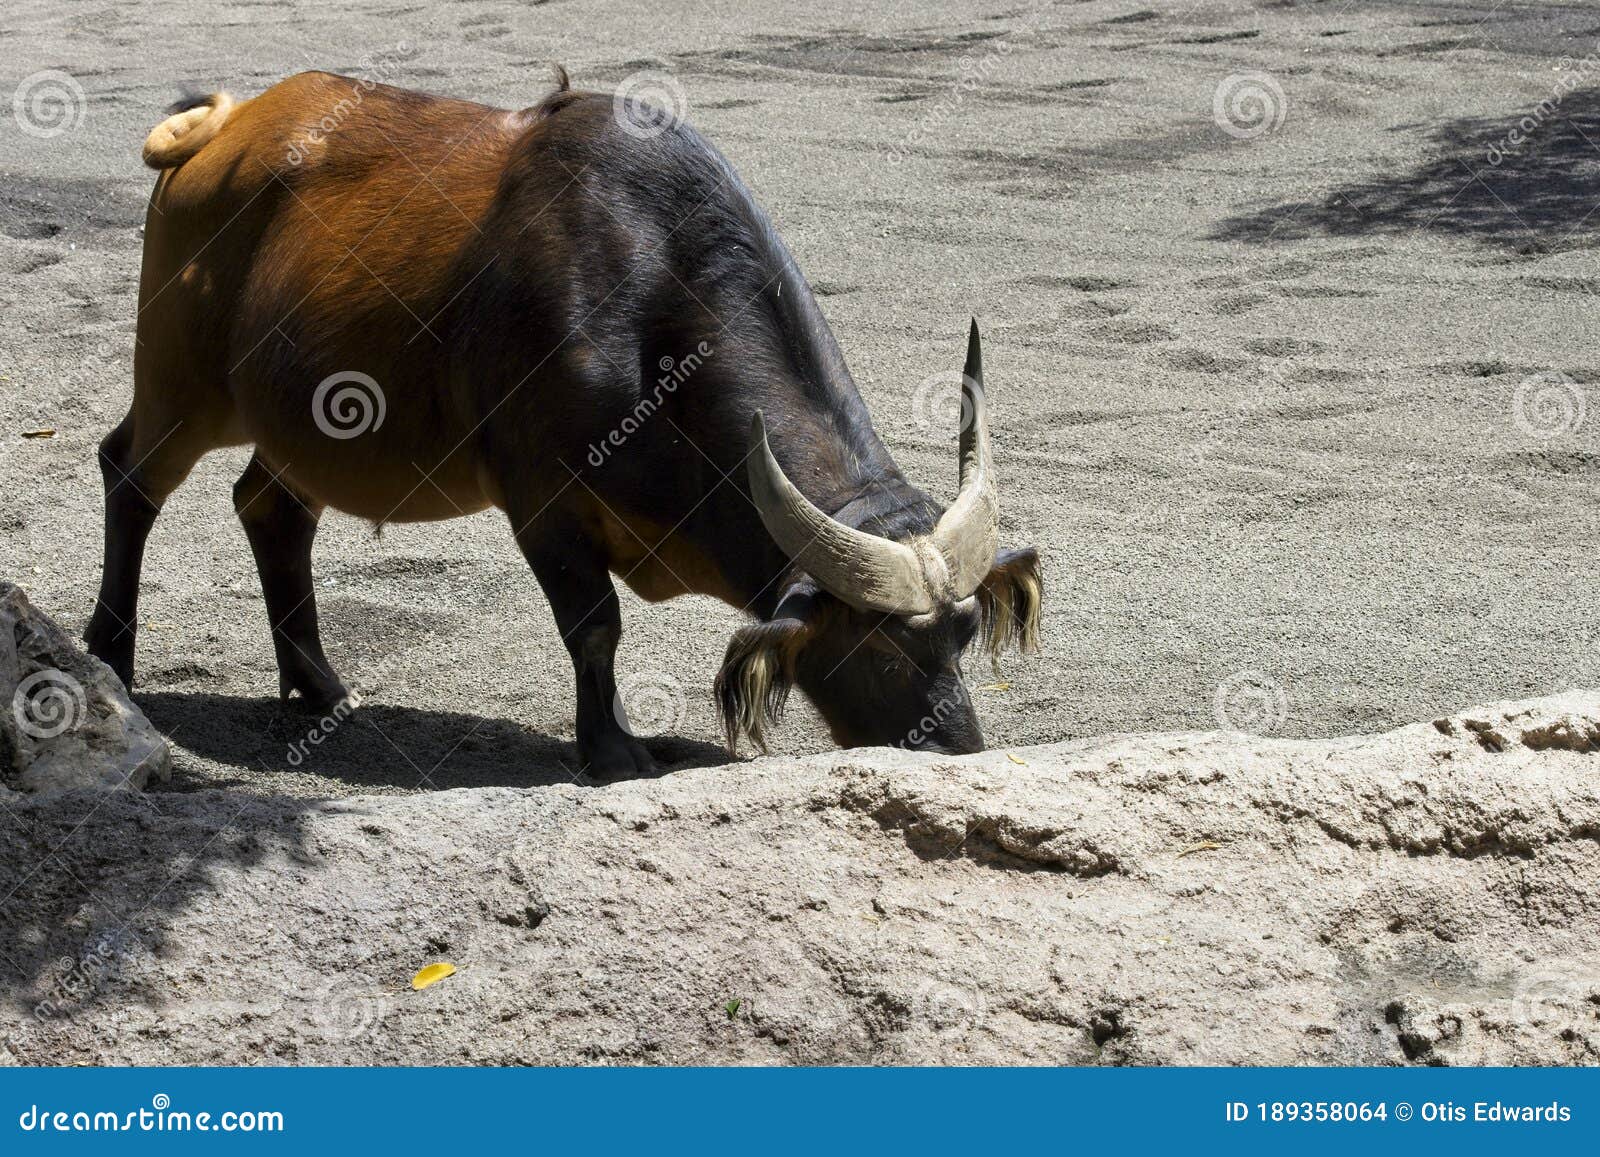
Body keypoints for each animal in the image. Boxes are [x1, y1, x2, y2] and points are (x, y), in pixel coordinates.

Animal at [85, 70, 1043, 777]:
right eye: (876, 652)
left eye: (963, 635)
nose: (956, 749)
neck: (652, 307)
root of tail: (227, 126)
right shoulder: (542, 500)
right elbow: (595, 625)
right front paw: (611, 746)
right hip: (181, 387)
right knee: (129, 473)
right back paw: (108, 659)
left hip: (296, 424)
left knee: (271, 509)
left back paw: (316, 682)